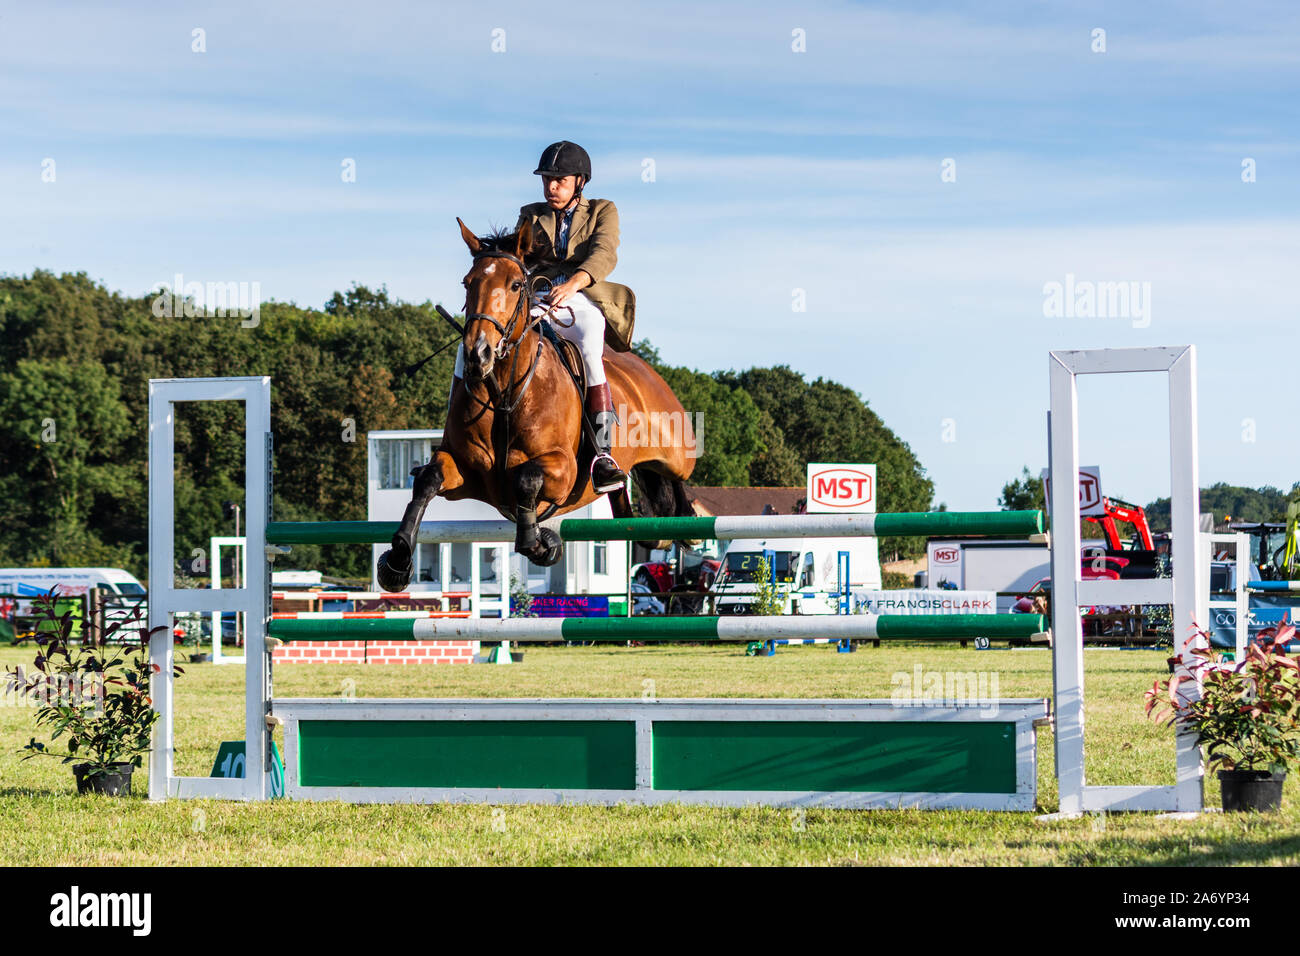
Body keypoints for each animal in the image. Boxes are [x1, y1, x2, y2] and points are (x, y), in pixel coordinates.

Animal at [376, 218, 696, 591]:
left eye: (516, 285)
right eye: (468, 283)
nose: (477, 354)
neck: (504, 393)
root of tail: (646, 370)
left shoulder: (563, 470)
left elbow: (526, 479)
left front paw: (540, 543)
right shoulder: (466, 472)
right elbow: (427, 480)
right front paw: (397, 562)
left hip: (675, 453)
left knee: (677, 483)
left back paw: (687, 521)